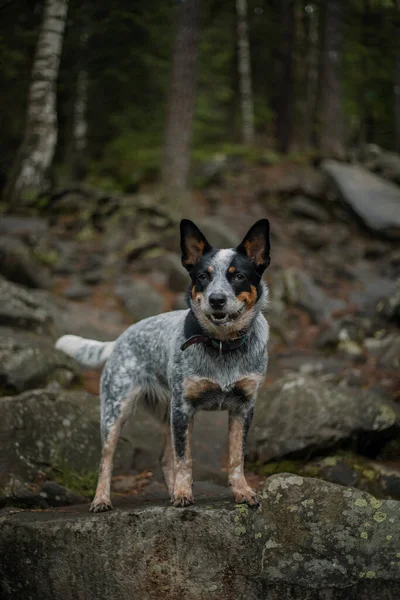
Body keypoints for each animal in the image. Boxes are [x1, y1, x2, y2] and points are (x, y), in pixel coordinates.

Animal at [55, 218, 268, 512]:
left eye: (238, 276)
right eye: (203, 276)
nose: (216, 299)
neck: (222, 346)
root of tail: (120, 338)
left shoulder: (243, 407)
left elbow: (236, 458)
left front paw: (242, 491)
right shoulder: (183, 407)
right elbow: (184, 459)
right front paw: (183, 493)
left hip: (167, 414)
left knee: (166, 459)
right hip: (116, 412)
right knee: (106, 460)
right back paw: (101, 499)